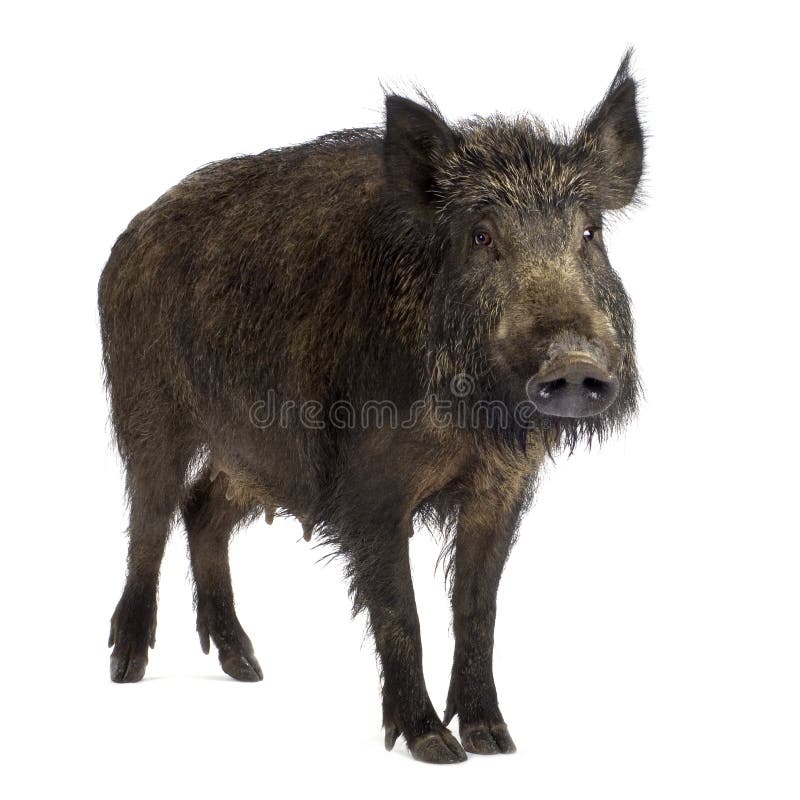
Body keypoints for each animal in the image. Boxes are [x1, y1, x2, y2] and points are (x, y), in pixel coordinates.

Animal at [99, 51, 643, 763]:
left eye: (589, 232)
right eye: (480, 236)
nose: (574, 363)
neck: (473, 423)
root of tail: (125, 240)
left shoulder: (502, 486)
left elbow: (477, 607)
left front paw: (495, 741)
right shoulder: (368, 490)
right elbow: (399, 611)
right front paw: (434, 746)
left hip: (254, 452)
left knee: (203, 508)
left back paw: (248, 667)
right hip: (144, 406)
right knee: (150, 517)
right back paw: (126, 668)